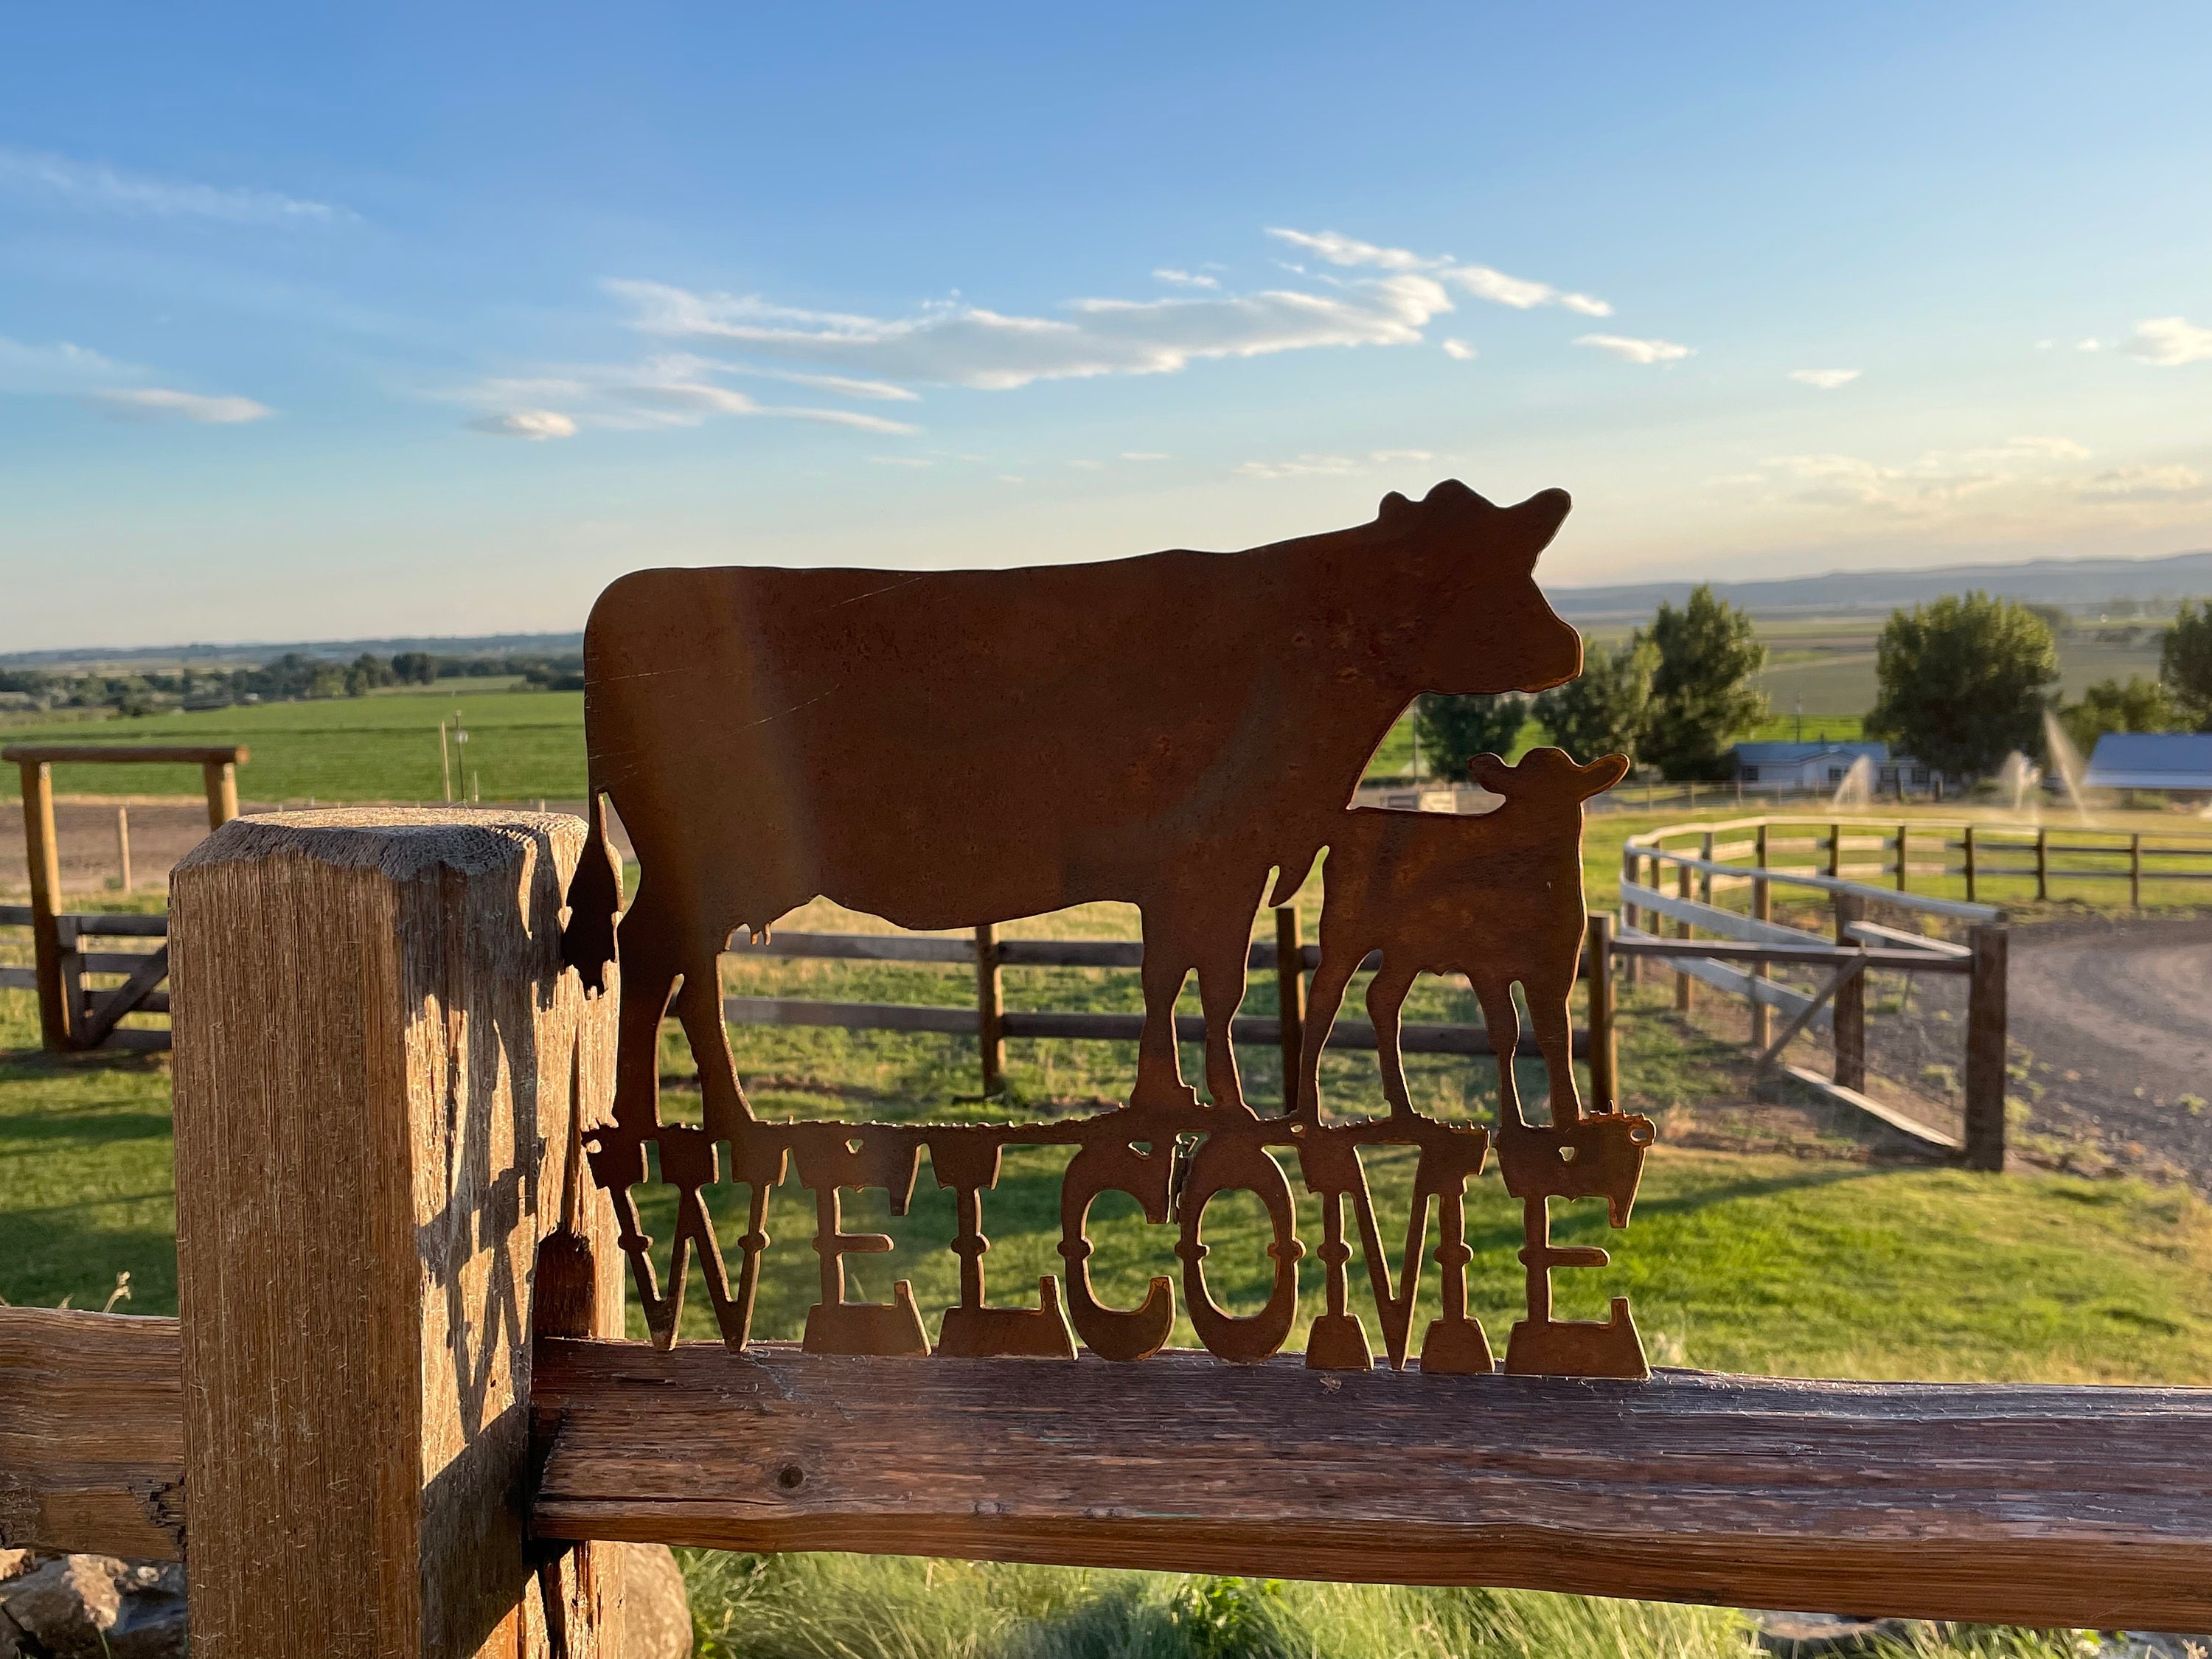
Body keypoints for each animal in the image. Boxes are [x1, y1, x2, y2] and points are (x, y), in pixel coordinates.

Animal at [561, 480, 1583, 1139]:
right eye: (1486, 572)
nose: (1571, 647)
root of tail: (622, 597)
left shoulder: (1206, 868)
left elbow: (1178, 978)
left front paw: (1184, 1103)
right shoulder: (1215, 858)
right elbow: (1206, 981)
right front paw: (1218, 1107)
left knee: (684, 970)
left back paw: (707, 1119)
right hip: (707, 855)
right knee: (656, 957)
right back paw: (666, 1121)